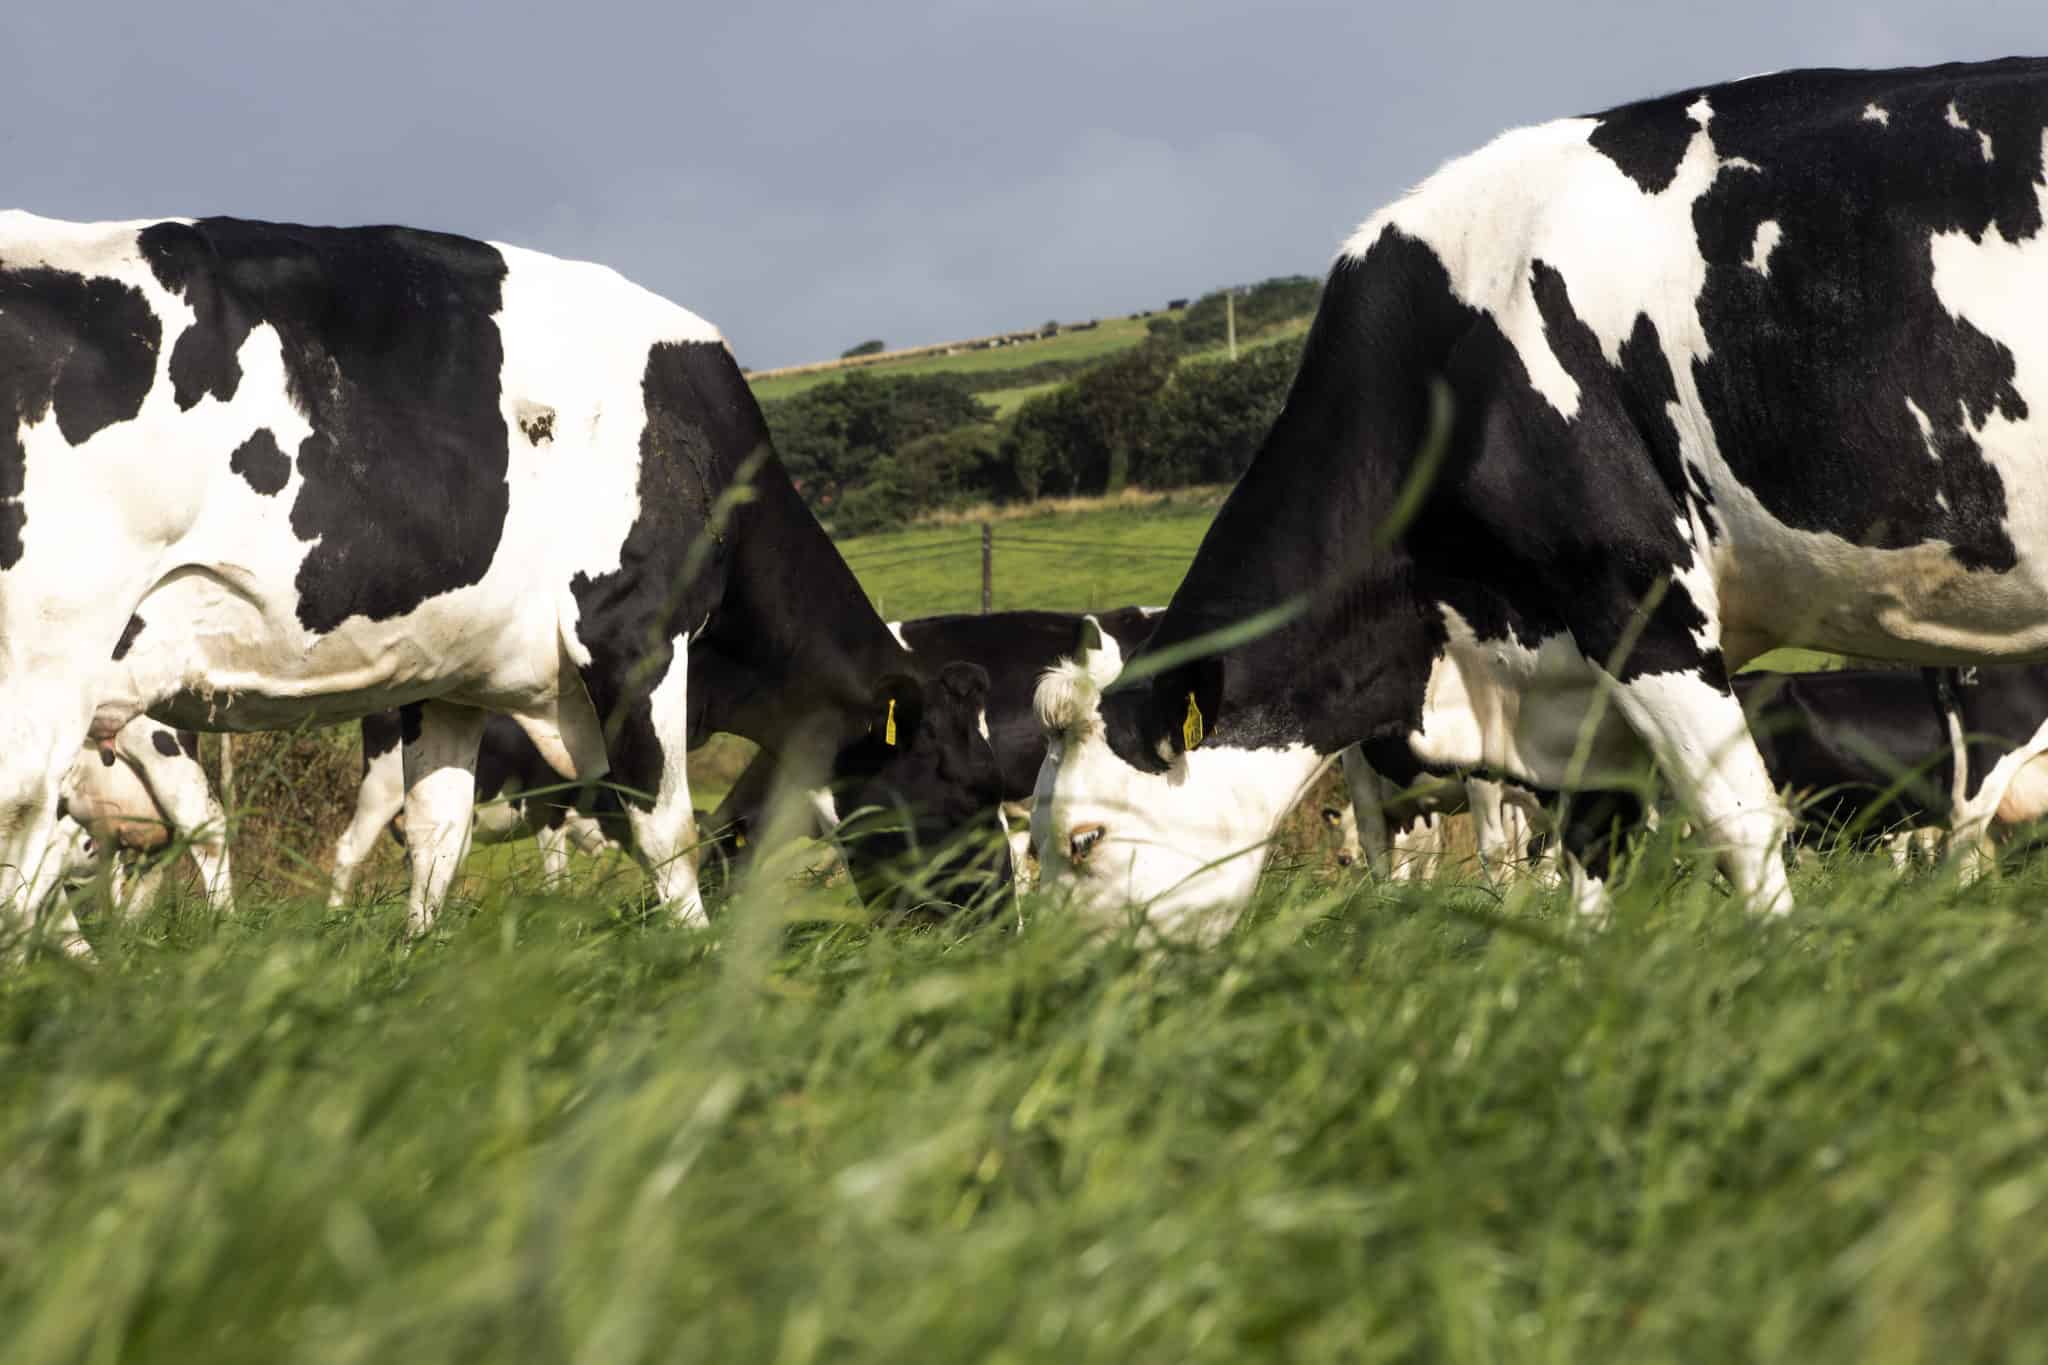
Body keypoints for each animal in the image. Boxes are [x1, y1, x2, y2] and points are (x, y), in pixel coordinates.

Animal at [0, 213, 1008, 952]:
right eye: (967, 788)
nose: (1005, 921)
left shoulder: (446, 679)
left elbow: (437, 836)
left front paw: (417, 957)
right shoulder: (633, 631)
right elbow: (665, 824)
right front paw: (696, 958)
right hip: (49, 656)